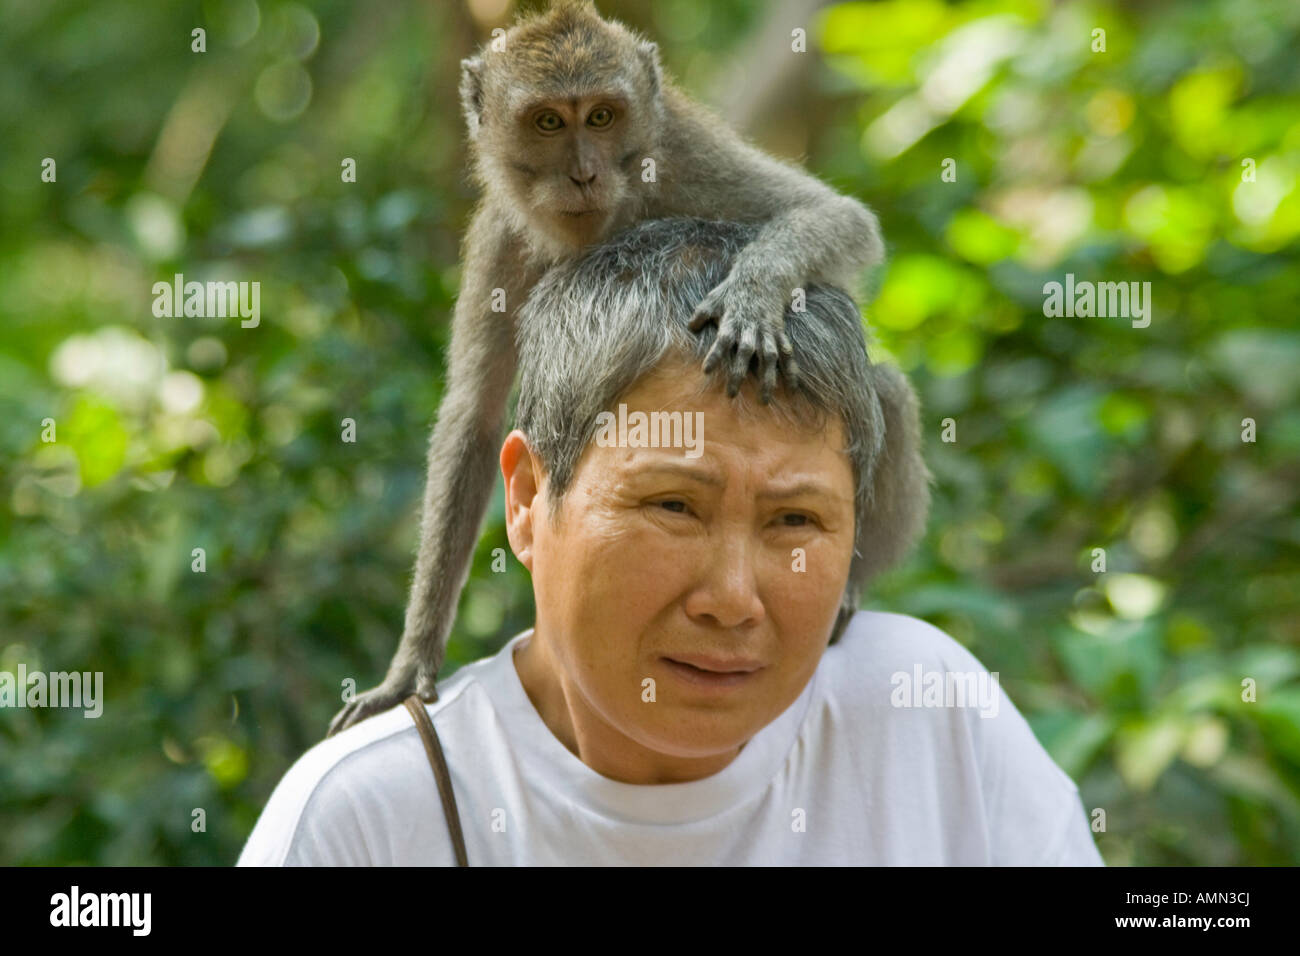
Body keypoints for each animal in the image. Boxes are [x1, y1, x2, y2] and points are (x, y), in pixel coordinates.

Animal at [327, 0, 885, 735]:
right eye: (547, 122)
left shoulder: (685, 159)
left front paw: (753, 291)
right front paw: (408, 664)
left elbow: (839, 218)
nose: (584, 174)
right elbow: (473, 420)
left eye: (600, 117)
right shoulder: (502, 239)